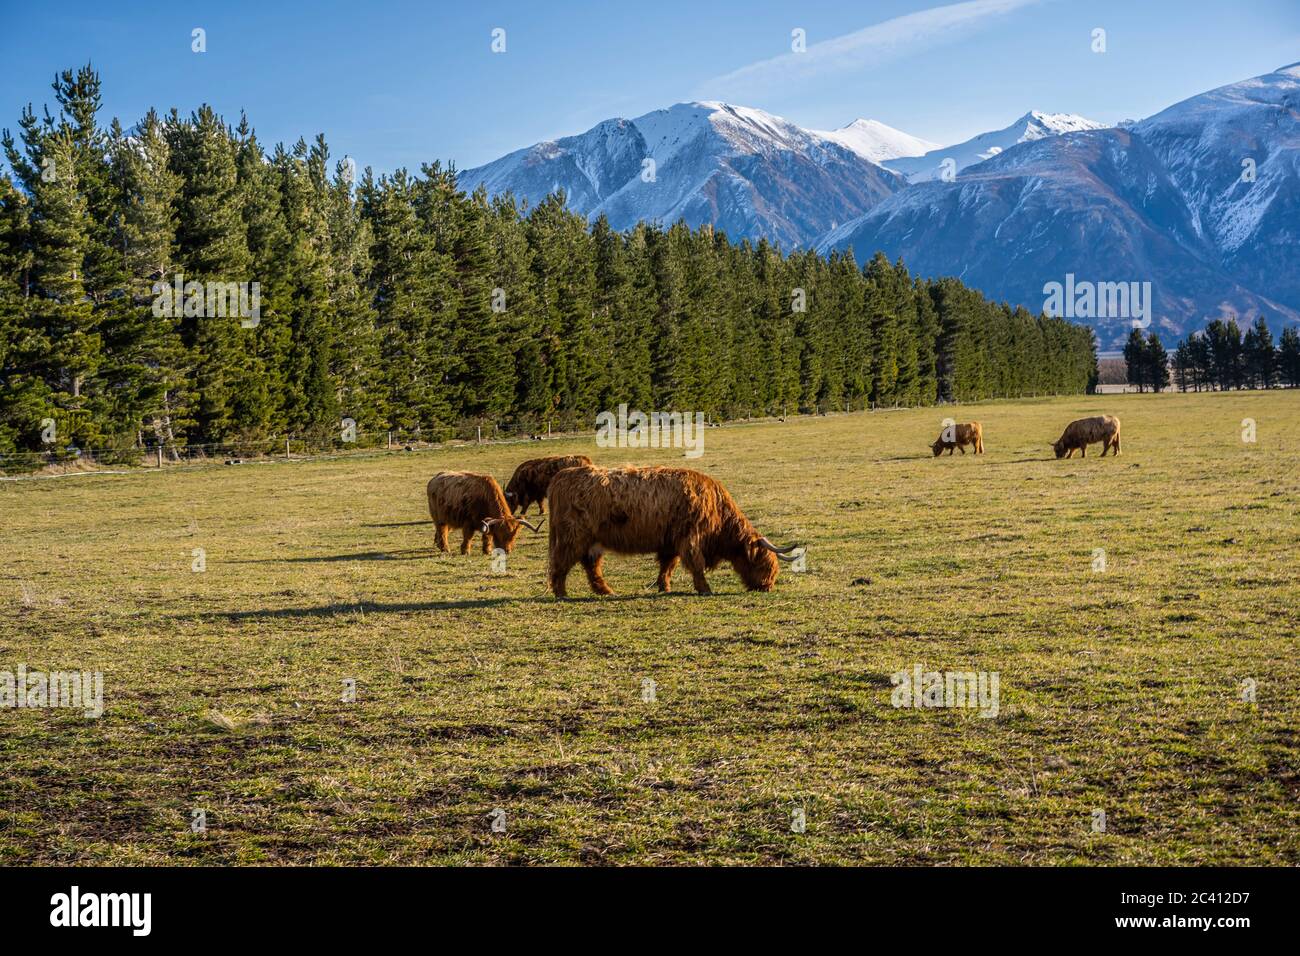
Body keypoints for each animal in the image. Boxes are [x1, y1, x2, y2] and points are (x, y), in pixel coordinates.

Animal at [546, 464, 801, 597]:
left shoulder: (671, 541)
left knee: (591, 566)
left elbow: (668, 565)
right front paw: (705, 589)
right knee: (560, 564)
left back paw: (606, 591)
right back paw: (561, 593)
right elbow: (695, 565)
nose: (767, 586)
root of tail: (562, 476)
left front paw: (664, 587)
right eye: (763, 563)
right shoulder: (690, 538)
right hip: (573, 537)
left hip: (592, 541)